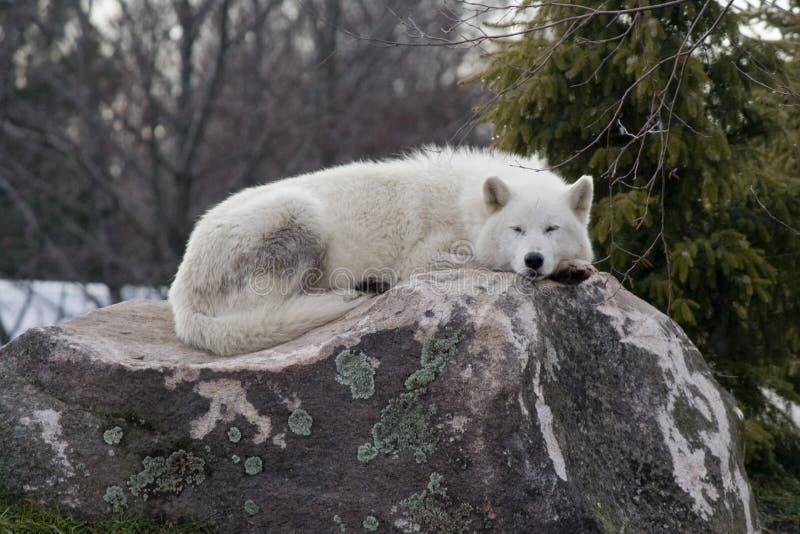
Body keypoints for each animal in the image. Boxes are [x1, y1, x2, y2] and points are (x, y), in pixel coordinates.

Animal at [169, 147, 595, 355]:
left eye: (551, 229)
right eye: (517, 229)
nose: (534, 260)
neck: (467, 206)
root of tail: (180, 294)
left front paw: (572, 267)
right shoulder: (424, 259)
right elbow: (490, 265)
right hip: (300, 212)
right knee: (273, 307)